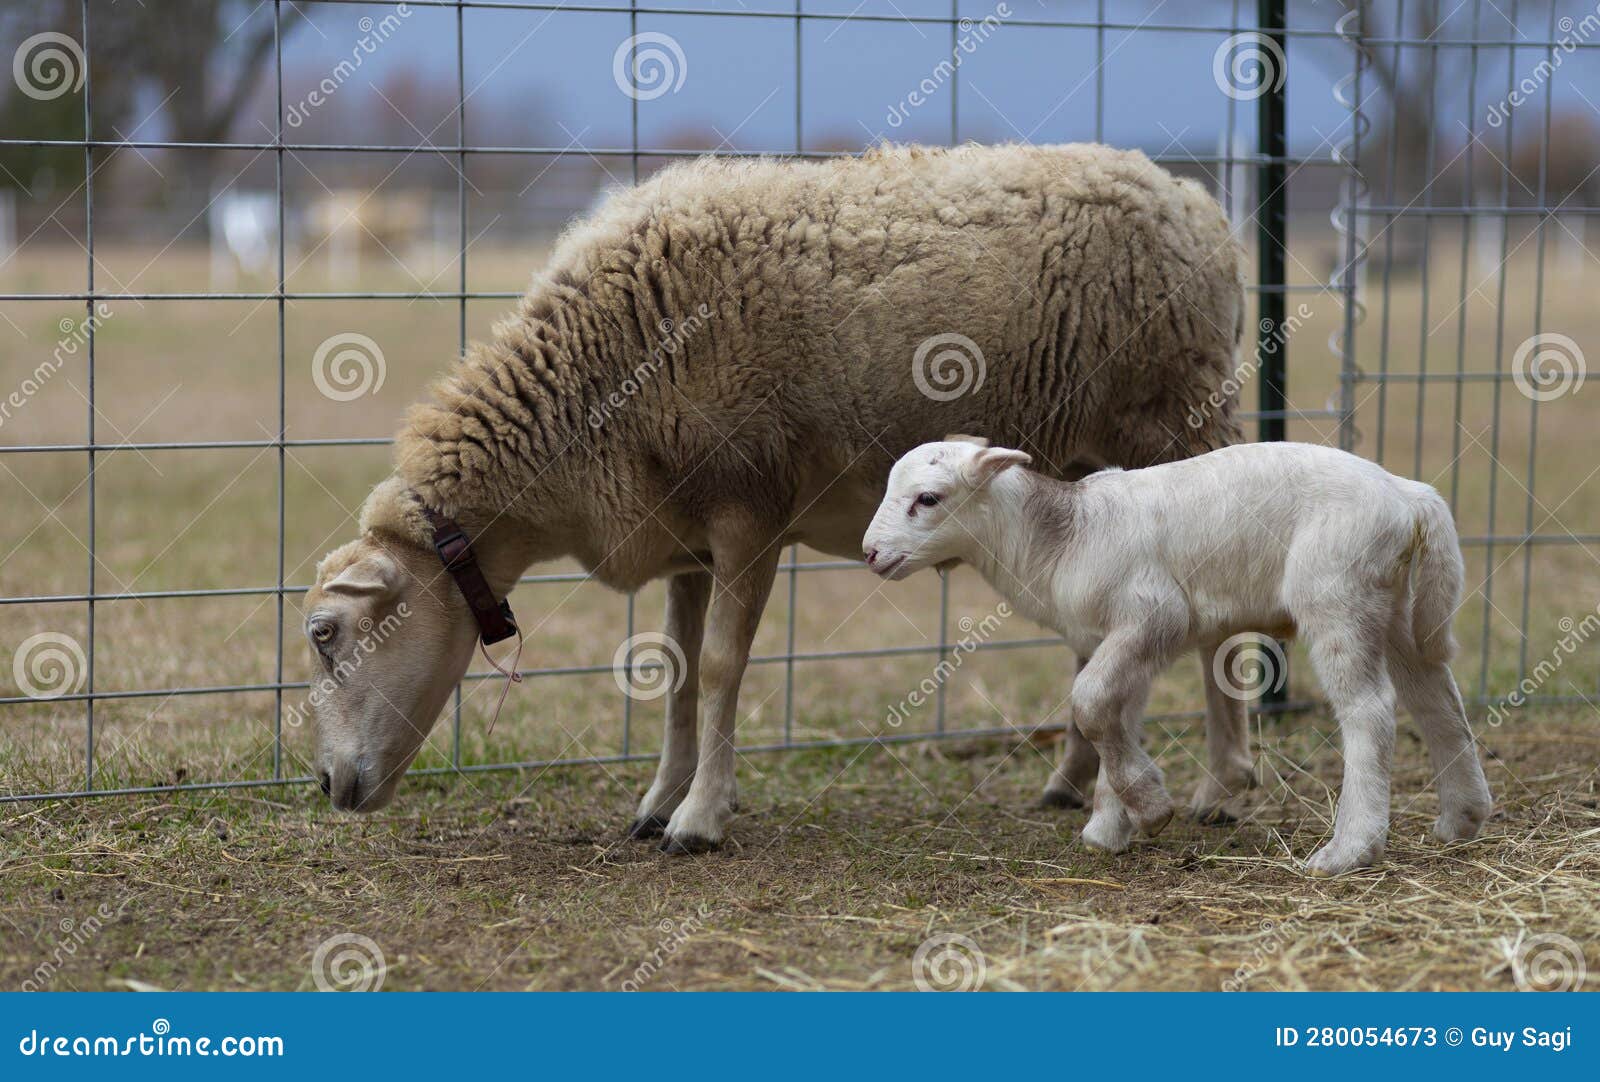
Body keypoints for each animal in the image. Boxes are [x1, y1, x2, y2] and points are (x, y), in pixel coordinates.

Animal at [303, 142, 1250, 853]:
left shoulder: (746, 510)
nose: (326, 783)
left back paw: (1222, 786)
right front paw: (658, 800)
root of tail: (1193, 201)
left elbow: (723, 666)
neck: (588, 397)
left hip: (1180, 421)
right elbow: (679, 674)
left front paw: (698, 820)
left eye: (325, 633)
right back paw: (1070, 783)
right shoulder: (685, 535)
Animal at [862, 437, 1495, 875]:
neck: (1062, 539)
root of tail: (1409, 496)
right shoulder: (1125, 637)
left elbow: (1089, 702)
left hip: (1337, 593)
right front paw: (1110, 826)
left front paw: (1148, 806)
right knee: (1436, 698)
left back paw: (1349, 850)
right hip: (1398, 608)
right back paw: (1461, 817)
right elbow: (1113, 713)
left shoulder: (1153, 613)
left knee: (1370, 710)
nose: (869, 553)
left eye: (928, 499)